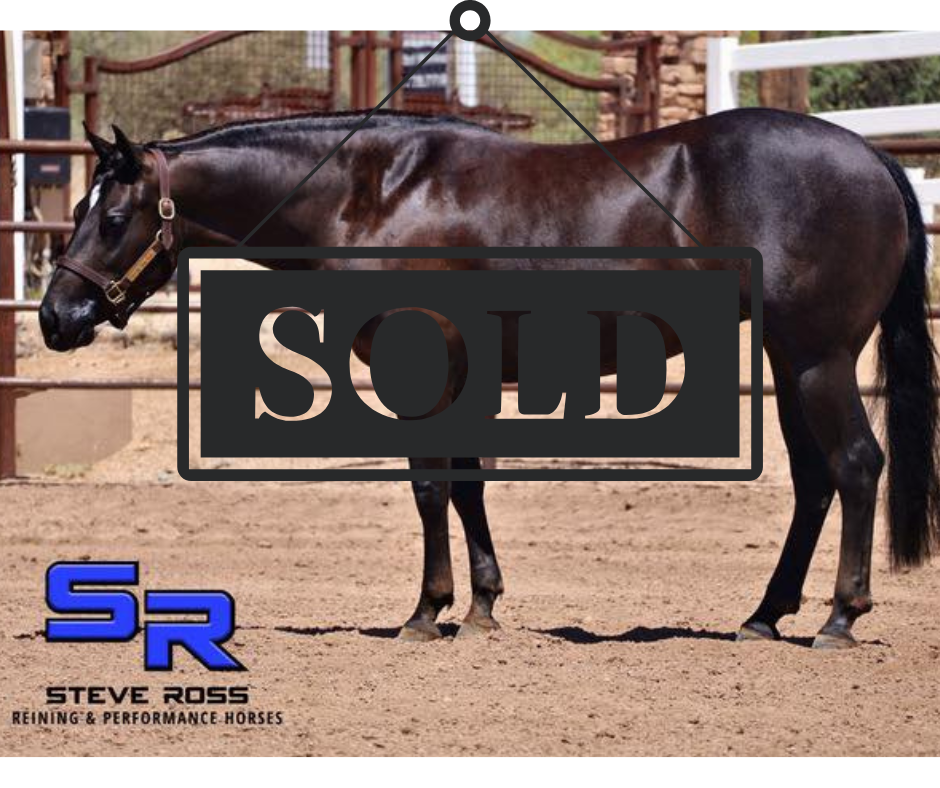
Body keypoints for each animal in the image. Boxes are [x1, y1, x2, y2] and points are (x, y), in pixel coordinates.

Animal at [38, 108, 939, 648]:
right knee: (814, 481)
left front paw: (425, 612)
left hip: (819, 358)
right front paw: (479, 607)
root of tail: (871, 157)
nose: (56, 317)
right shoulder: (459, 371)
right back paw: (764, 616)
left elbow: (431, 486)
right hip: (789, 361)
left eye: (111, 217)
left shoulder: (420, 370)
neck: (374, 195)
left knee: (857, 466)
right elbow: (468, 485)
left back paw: (839, 617)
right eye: (77, 210)